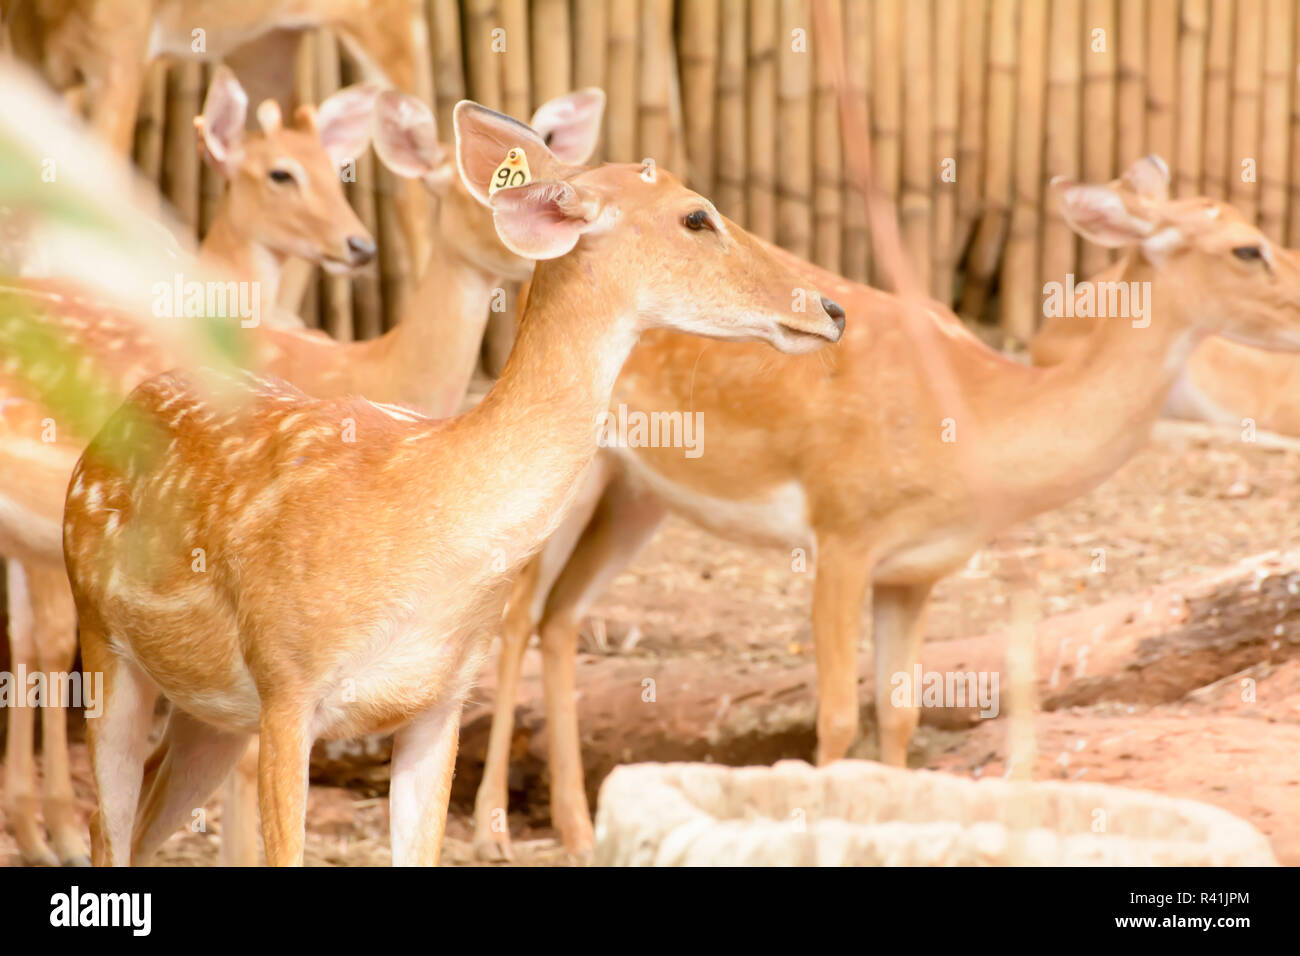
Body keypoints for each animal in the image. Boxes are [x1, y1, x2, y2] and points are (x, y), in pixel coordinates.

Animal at [58, 97, 846, 867]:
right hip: (103, 636)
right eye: (696, 215)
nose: (831, 308)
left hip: (214, 712)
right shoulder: (288, 681)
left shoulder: (441, 700)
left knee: (141, 821)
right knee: (107, 822)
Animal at [470, 154, 1300, 860]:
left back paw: (579, 829)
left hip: (641, 496)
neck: (977, 415)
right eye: (1247, 248)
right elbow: (838, 715)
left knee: (561, 617)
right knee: (516, 615)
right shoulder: (842, 530)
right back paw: (494, 831)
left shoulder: (914, 571)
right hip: (578, 476)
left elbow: (899, 713)